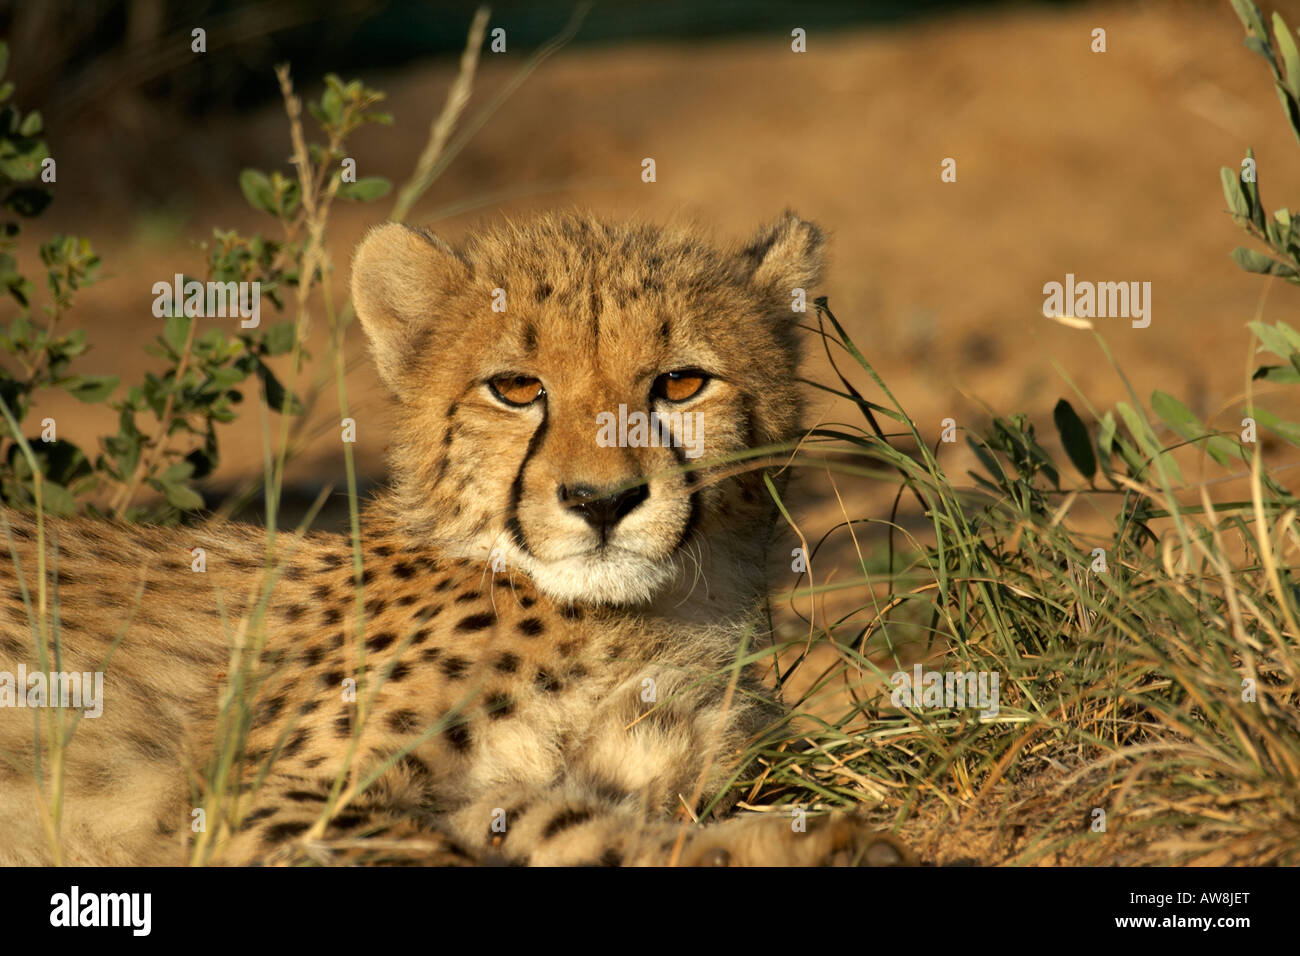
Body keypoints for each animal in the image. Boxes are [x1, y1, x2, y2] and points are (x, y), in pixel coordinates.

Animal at [0, 211, 913, 866]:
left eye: (682, 383)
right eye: (516, 388)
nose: (603, 501)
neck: (639, 616)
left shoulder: (540, 792)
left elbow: (587, 831)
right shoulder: (257, 799)